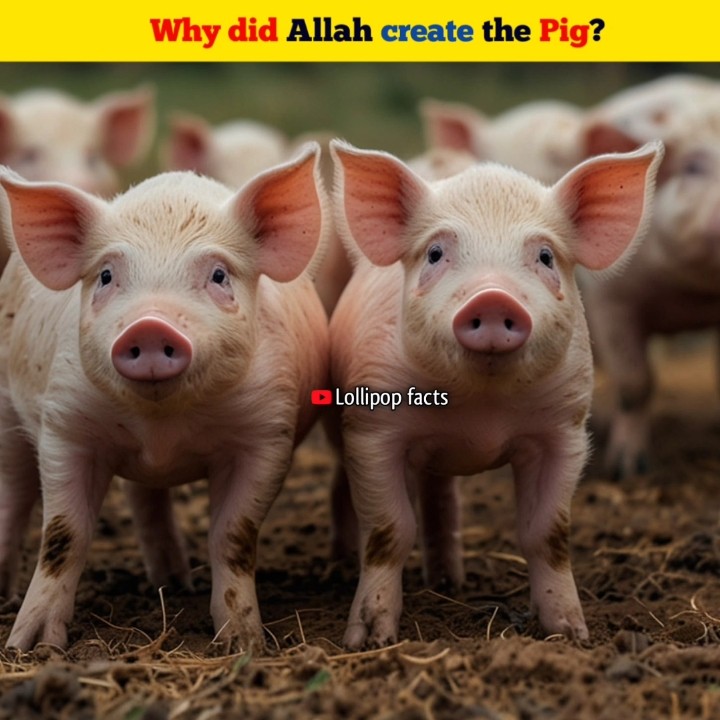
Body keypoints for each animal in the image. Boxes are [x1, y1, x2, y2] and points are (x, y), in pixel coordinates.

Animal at [0, 144, 329, 652]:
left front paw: (243, 644)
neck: (161, 427)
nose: (150, 326)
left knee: (144, 496)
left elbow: (234, 536)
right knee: (12, 497)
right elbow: (62, 535)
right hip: (7, 412)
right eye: (106, 275)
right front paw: (29, 648)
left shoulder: (266, 432)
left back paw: (174, 585)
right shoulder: (66, 425)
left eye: (218, 275)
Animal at [328, 139, 663, 648]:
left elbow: (548, 533)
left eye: (545, 257)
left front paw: (573, 635)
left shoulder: (564, 430)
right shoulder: (372, 428)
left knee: (440, 496)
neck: (481, 411)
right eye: (435, 253)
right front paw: (369, 641)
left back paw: (449, 583)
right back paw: (342, 567)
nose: (491, 298)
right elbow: (388, 530)